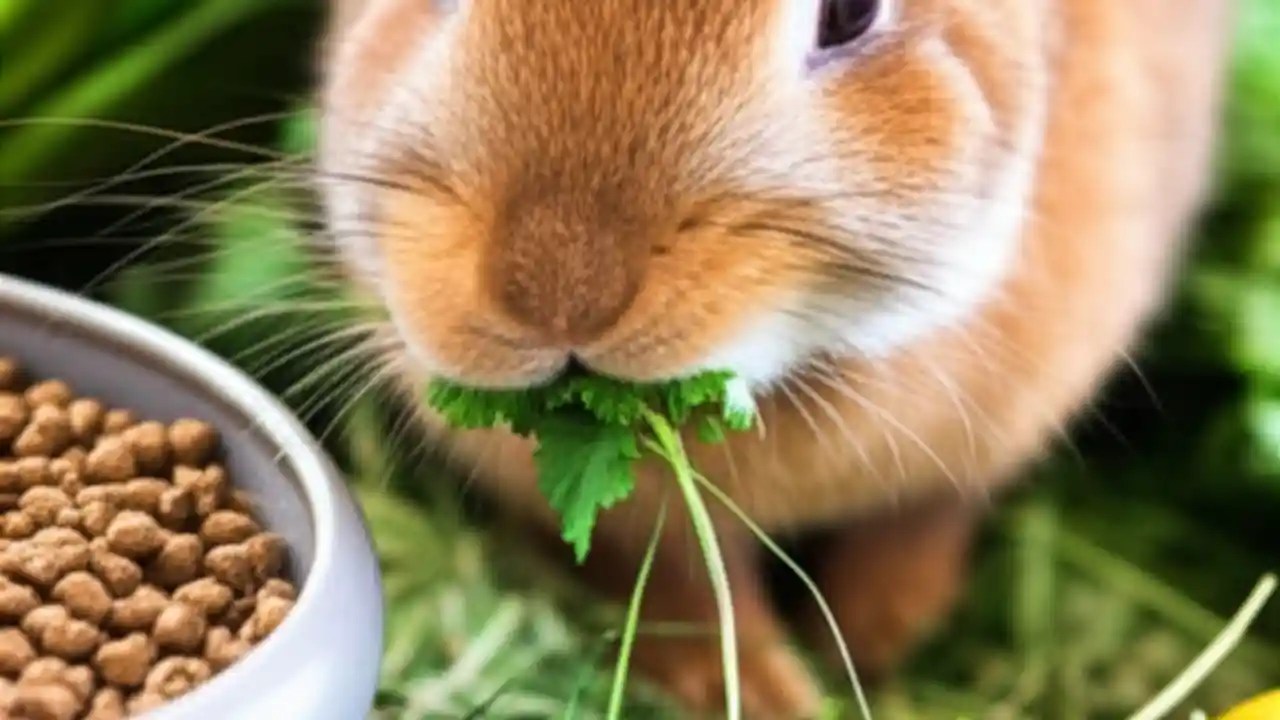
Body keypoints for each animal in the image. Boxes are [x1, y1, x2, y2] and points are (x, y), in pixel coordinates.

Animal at [318, 0, 1234, 716]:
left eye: (852, 12)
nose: (558, 292)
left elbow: (919, 524)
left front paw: (866, 645)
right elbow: (686, 586)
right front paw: (765, 693)